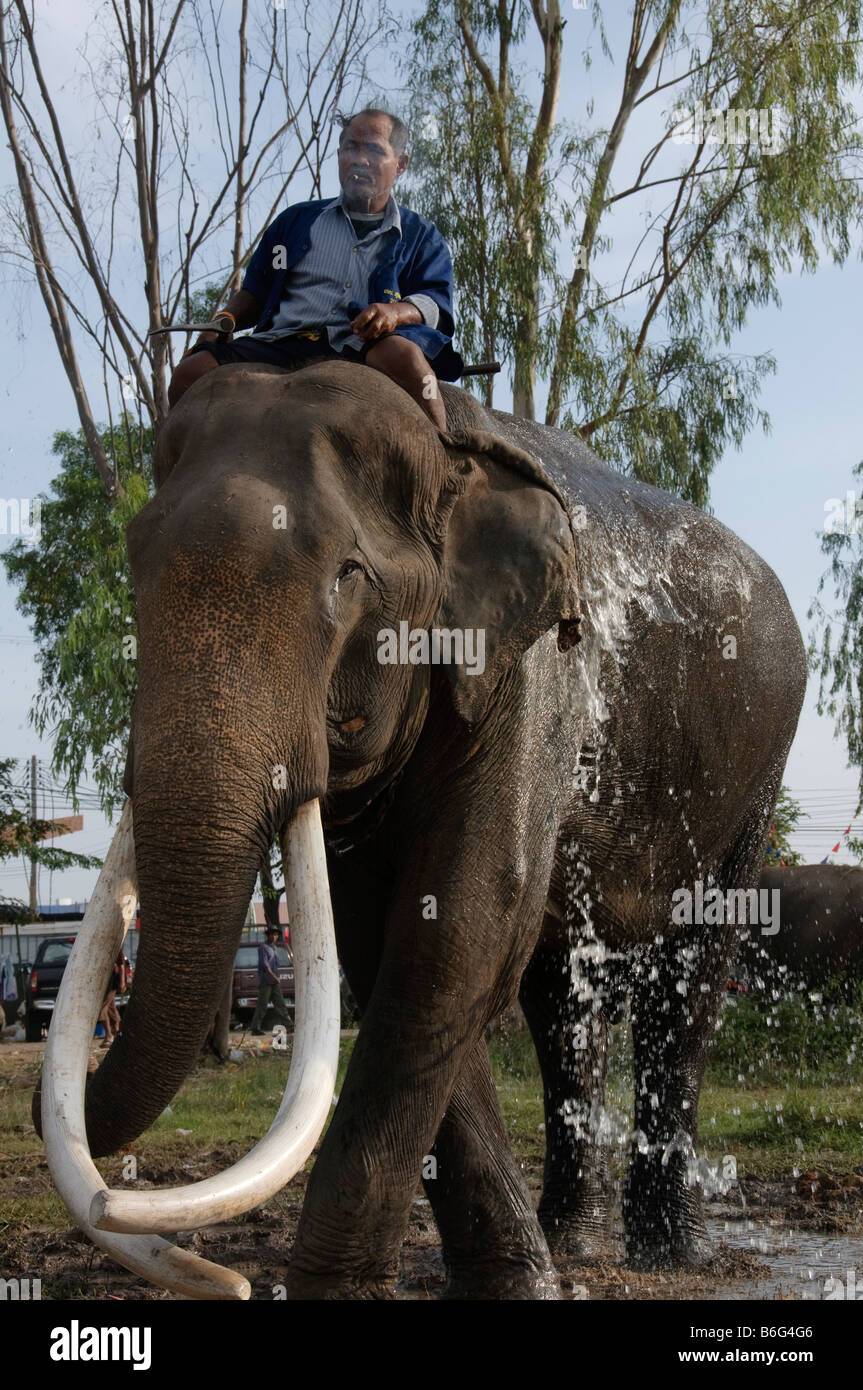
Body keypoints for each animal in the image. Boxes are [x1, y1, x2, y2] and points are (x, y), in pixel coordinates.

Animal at [36, 359, 805, 1298]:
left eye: (346, 575)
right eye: (134, 562)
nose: (226, 1278)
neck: (449, 454)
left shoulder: (531, 671)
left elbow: (463, 921)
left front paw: (338, 1293)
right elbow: (396, 941)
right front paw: (516, 1282)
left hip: (752, 773)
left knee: (686, 981)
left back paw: (671, 1253)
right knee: (563, 1000)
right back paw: (574, 1243)